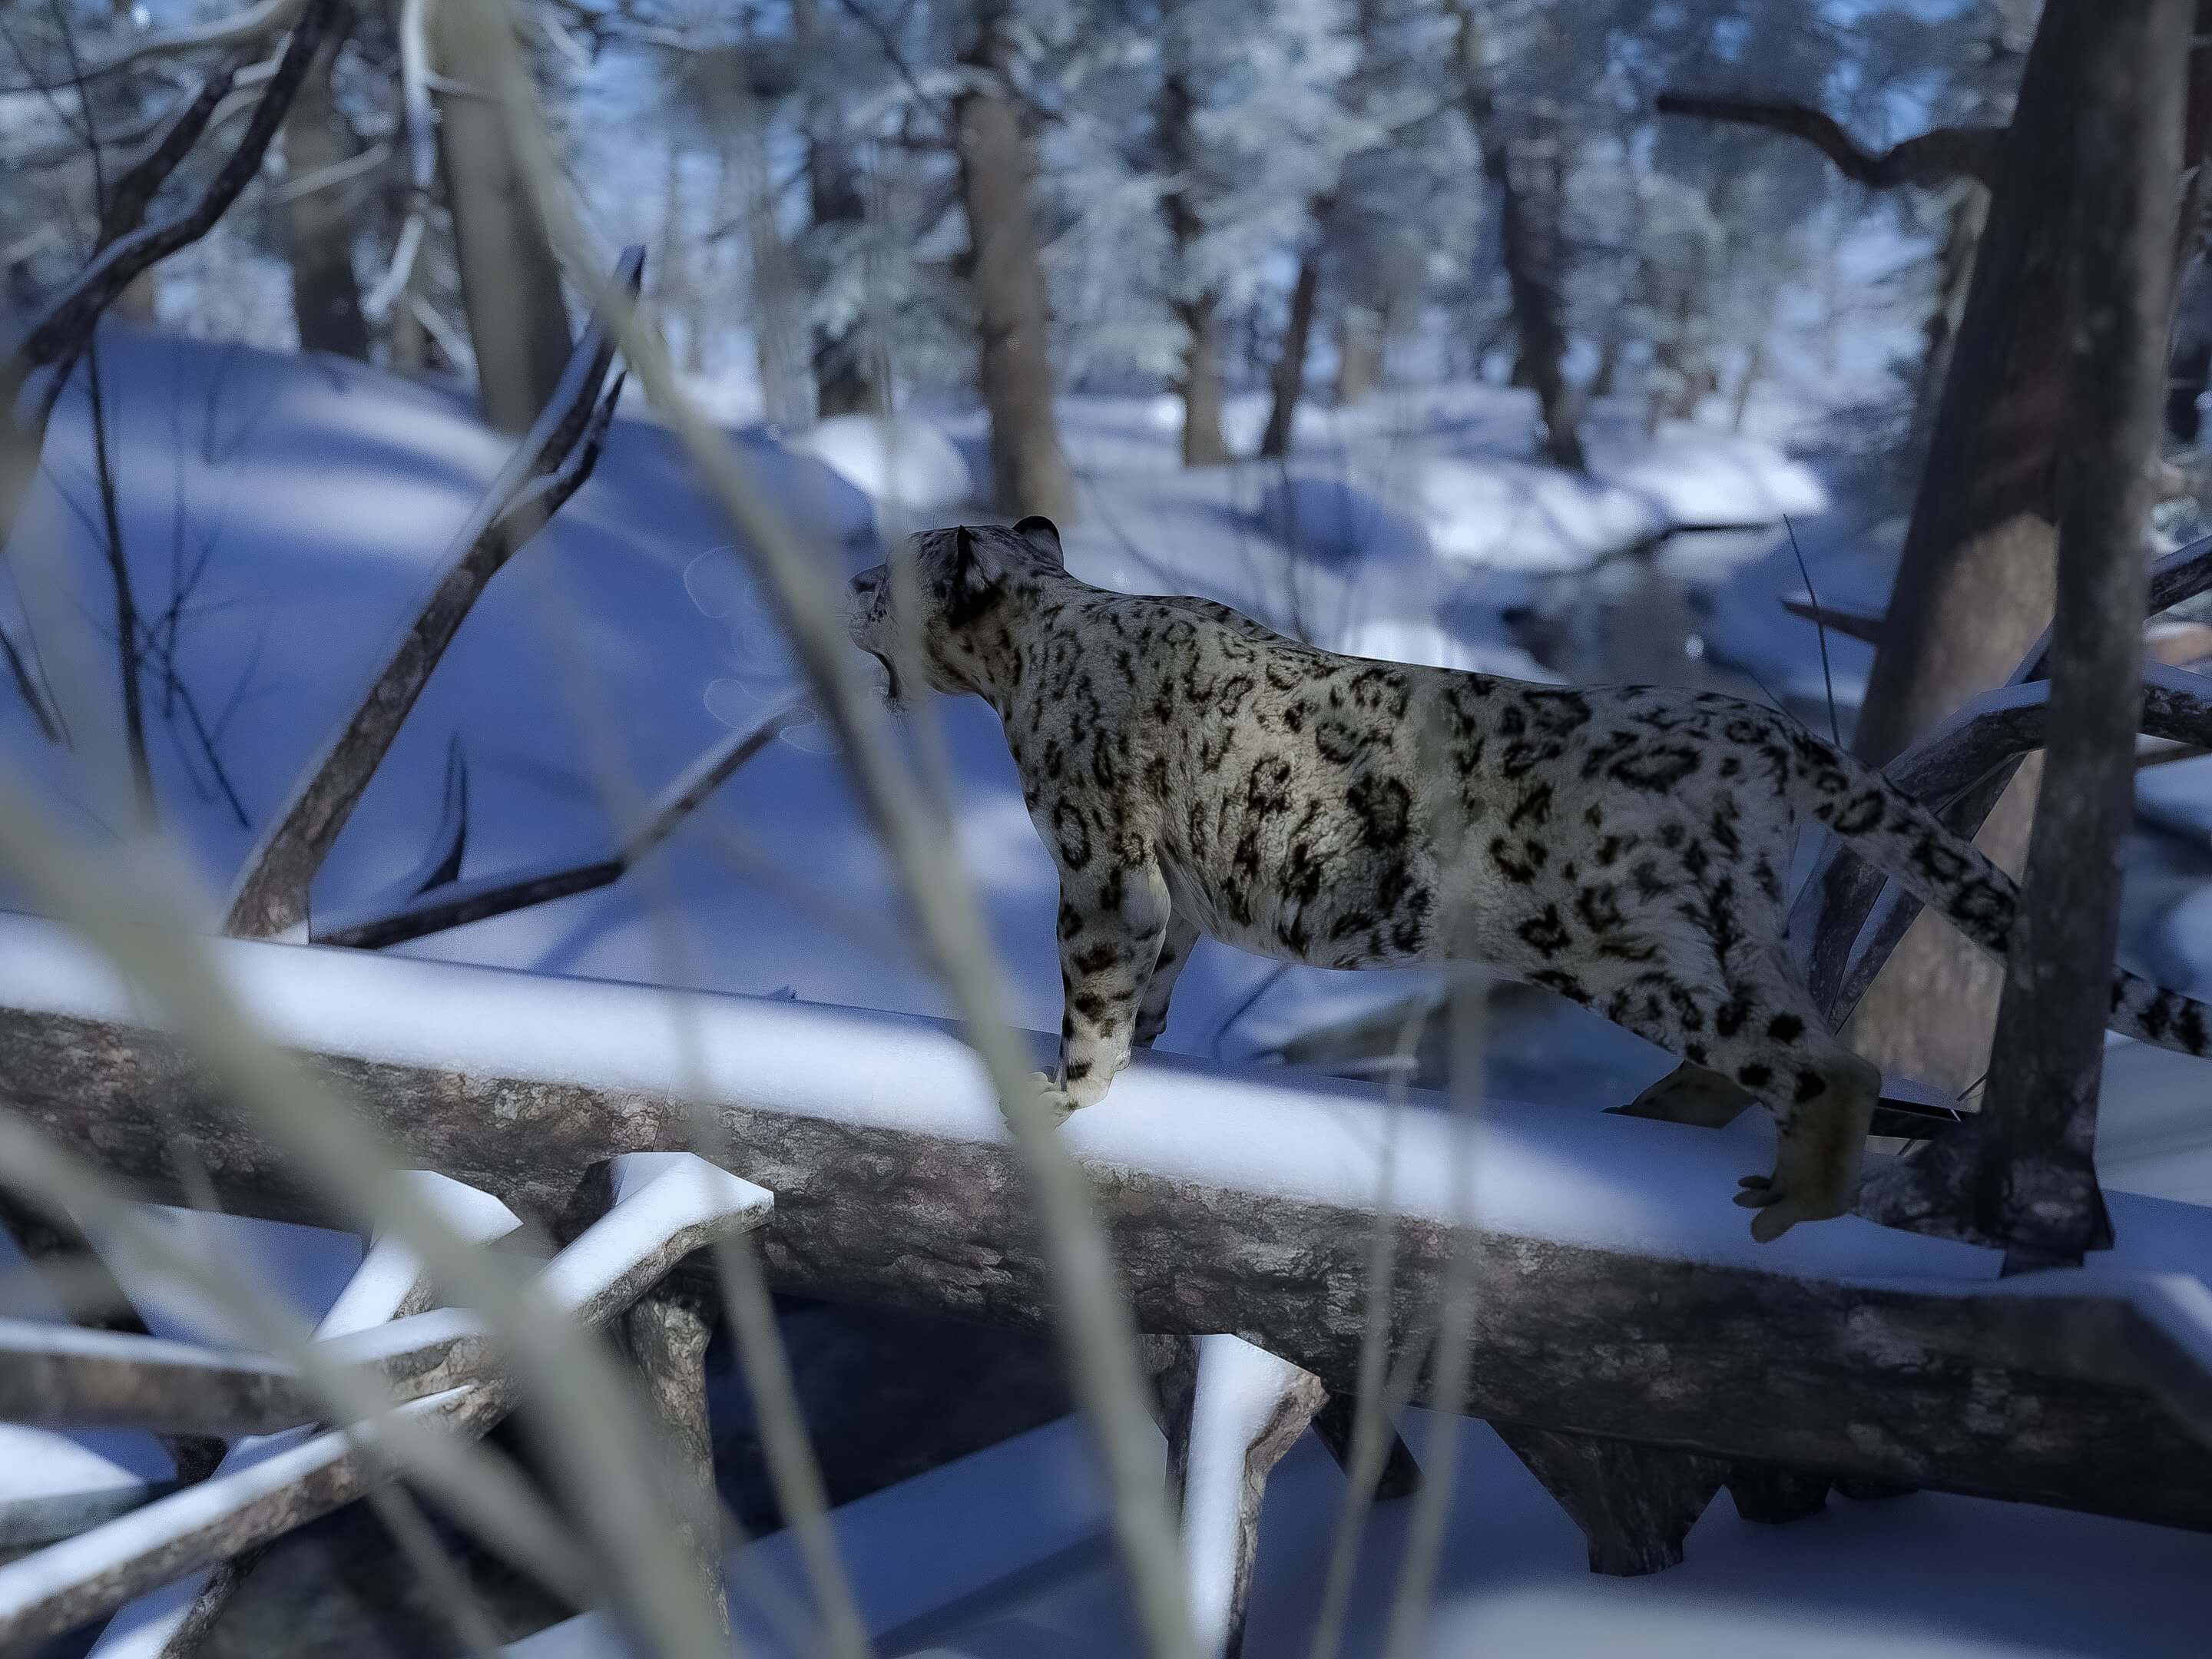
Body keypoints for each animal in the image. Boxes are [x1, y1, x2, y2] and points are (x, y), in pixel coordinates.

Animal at [847, 515, 2212, 1240]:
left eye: (884, 576)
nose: (850, 585)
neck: (1029, 666)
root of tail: (1761, 726)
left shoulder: (1095, 861)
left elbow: (1093, 988)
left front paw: (1060, 1094)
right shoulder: (1171, 898)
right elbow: (1162, 983)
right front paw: (1155, 1058)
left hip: (1627, 953)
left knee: (1835, 1063)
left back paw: (1792, 1199)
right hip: (1731, 932)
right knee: (1807, 1033)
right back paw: (1726, 1149)